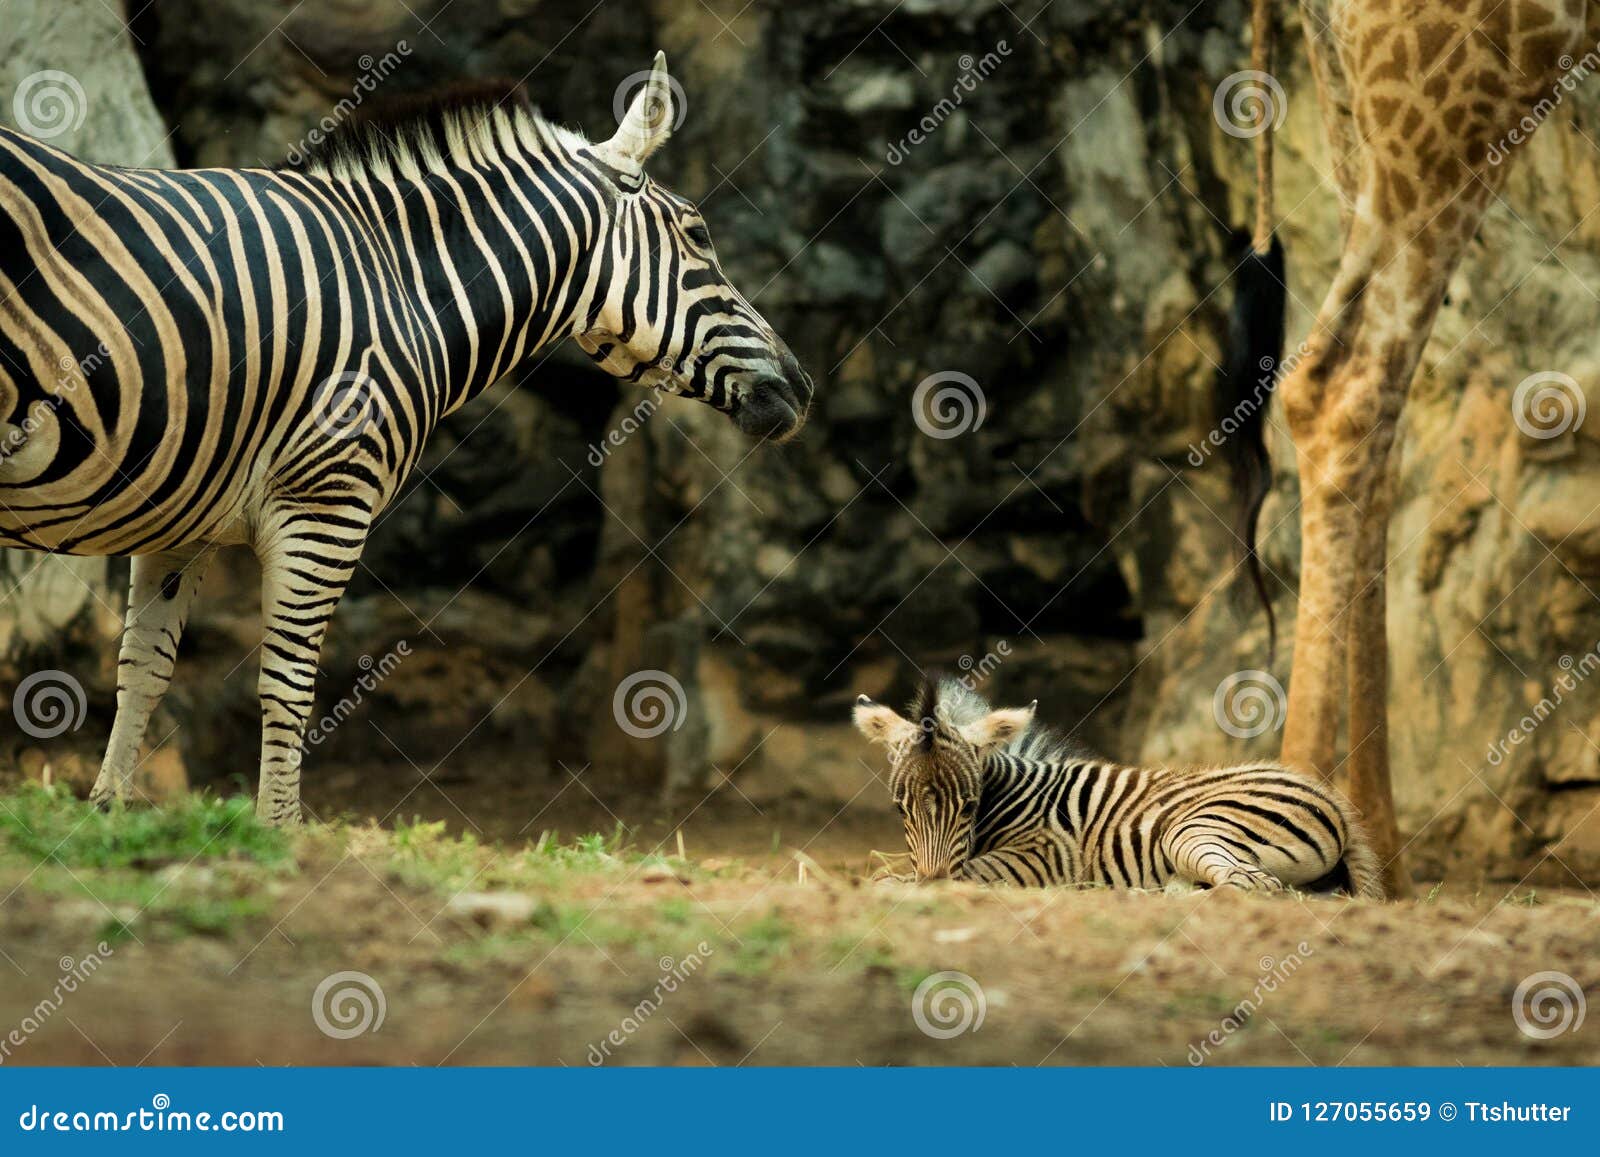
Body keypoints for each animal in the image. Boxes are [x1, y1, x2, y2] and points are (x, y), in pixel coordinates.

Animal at [0, 54, 812, 825]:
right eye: (698, 234)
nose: (802, 386)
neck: (402, 286)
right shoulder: (328, 501)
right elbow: (288, 682)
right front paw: (278, 835)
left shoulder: (181, 519)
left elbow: (143, 668)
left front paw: (108, 816)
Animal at [854, 677, 1382, 896]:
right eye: (900, 810)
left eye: (969, 807)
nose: (932, 883)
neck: (1011, 797)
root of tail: (1333, 799)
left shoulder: (1049, 853)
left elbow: (970, 872)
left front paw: (897, 883)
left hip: (1192, 830)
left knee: (1253, 884)